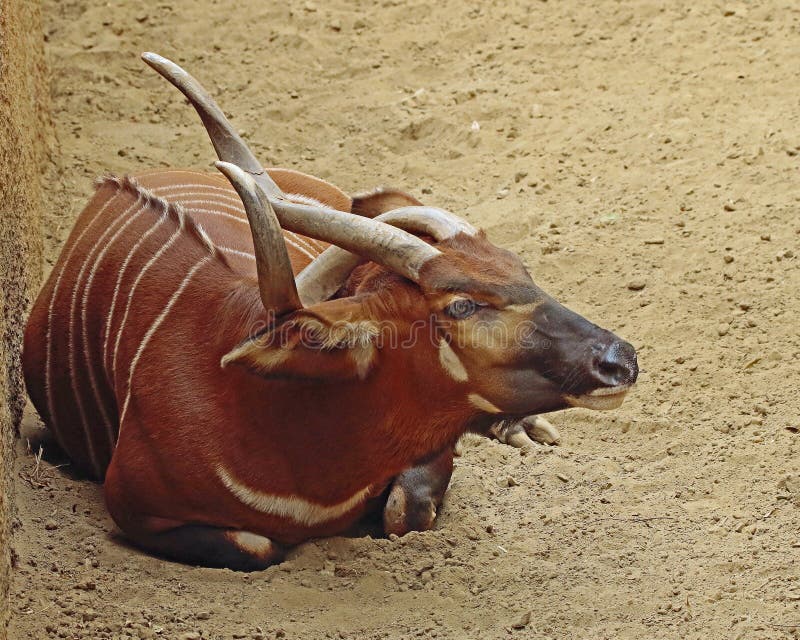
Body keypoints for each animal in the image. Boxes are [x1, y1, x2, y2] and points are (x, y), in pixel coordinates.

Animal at [22, 53, 638, 570]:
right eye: (462, 304)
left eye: (521, 267)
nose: (621, 361)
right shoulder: (136, 509)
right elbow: (261, 546)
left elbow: (404, 513)